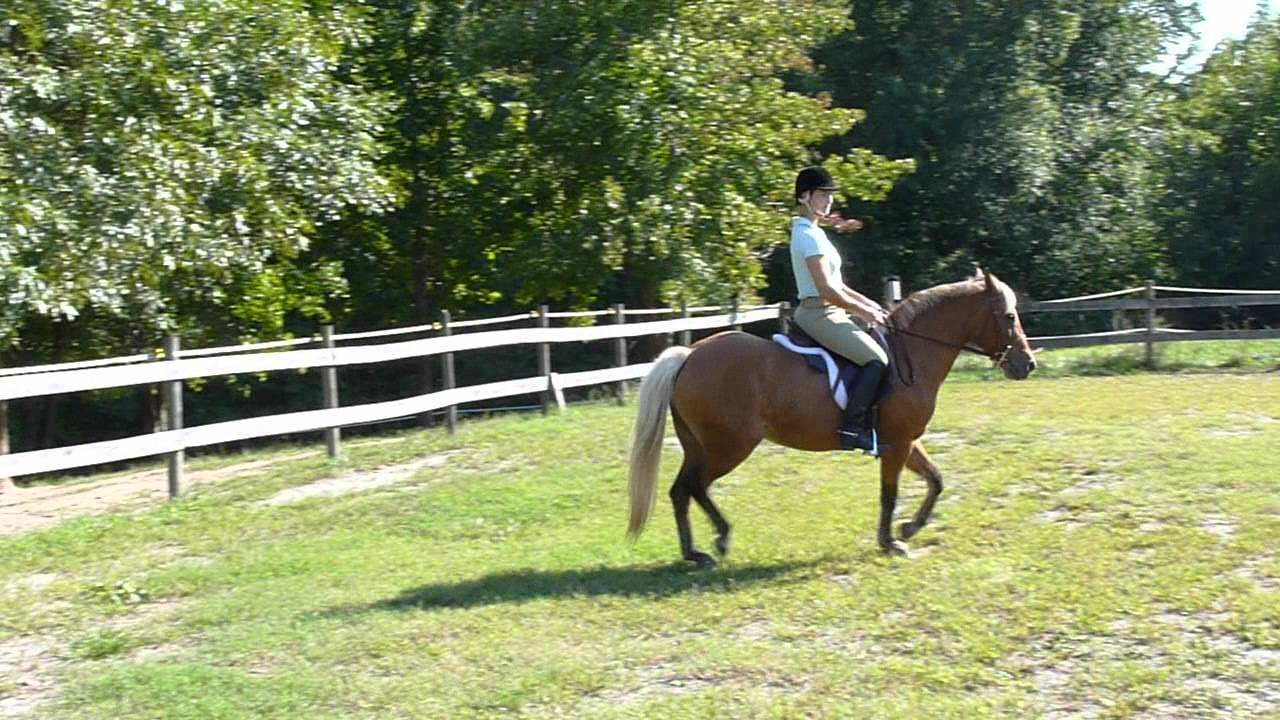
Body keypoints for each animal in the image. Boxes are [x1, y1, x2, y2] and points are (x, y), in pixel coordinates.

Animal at [627, 269, 1038, 565]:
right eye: (1008, 315)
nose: (1027, 364)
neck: (912, 354)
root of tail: (689, 356)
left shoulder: (906, 441)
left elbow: (936, 480)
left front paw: (909, 529)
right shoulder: (897, 444)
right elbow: (889, 494)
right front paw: (890, 542)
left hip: (699, 446)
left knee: (680, 490)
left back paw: (693, 553)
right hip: (729, 447)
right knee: (697, 487)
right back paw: (722, 538)